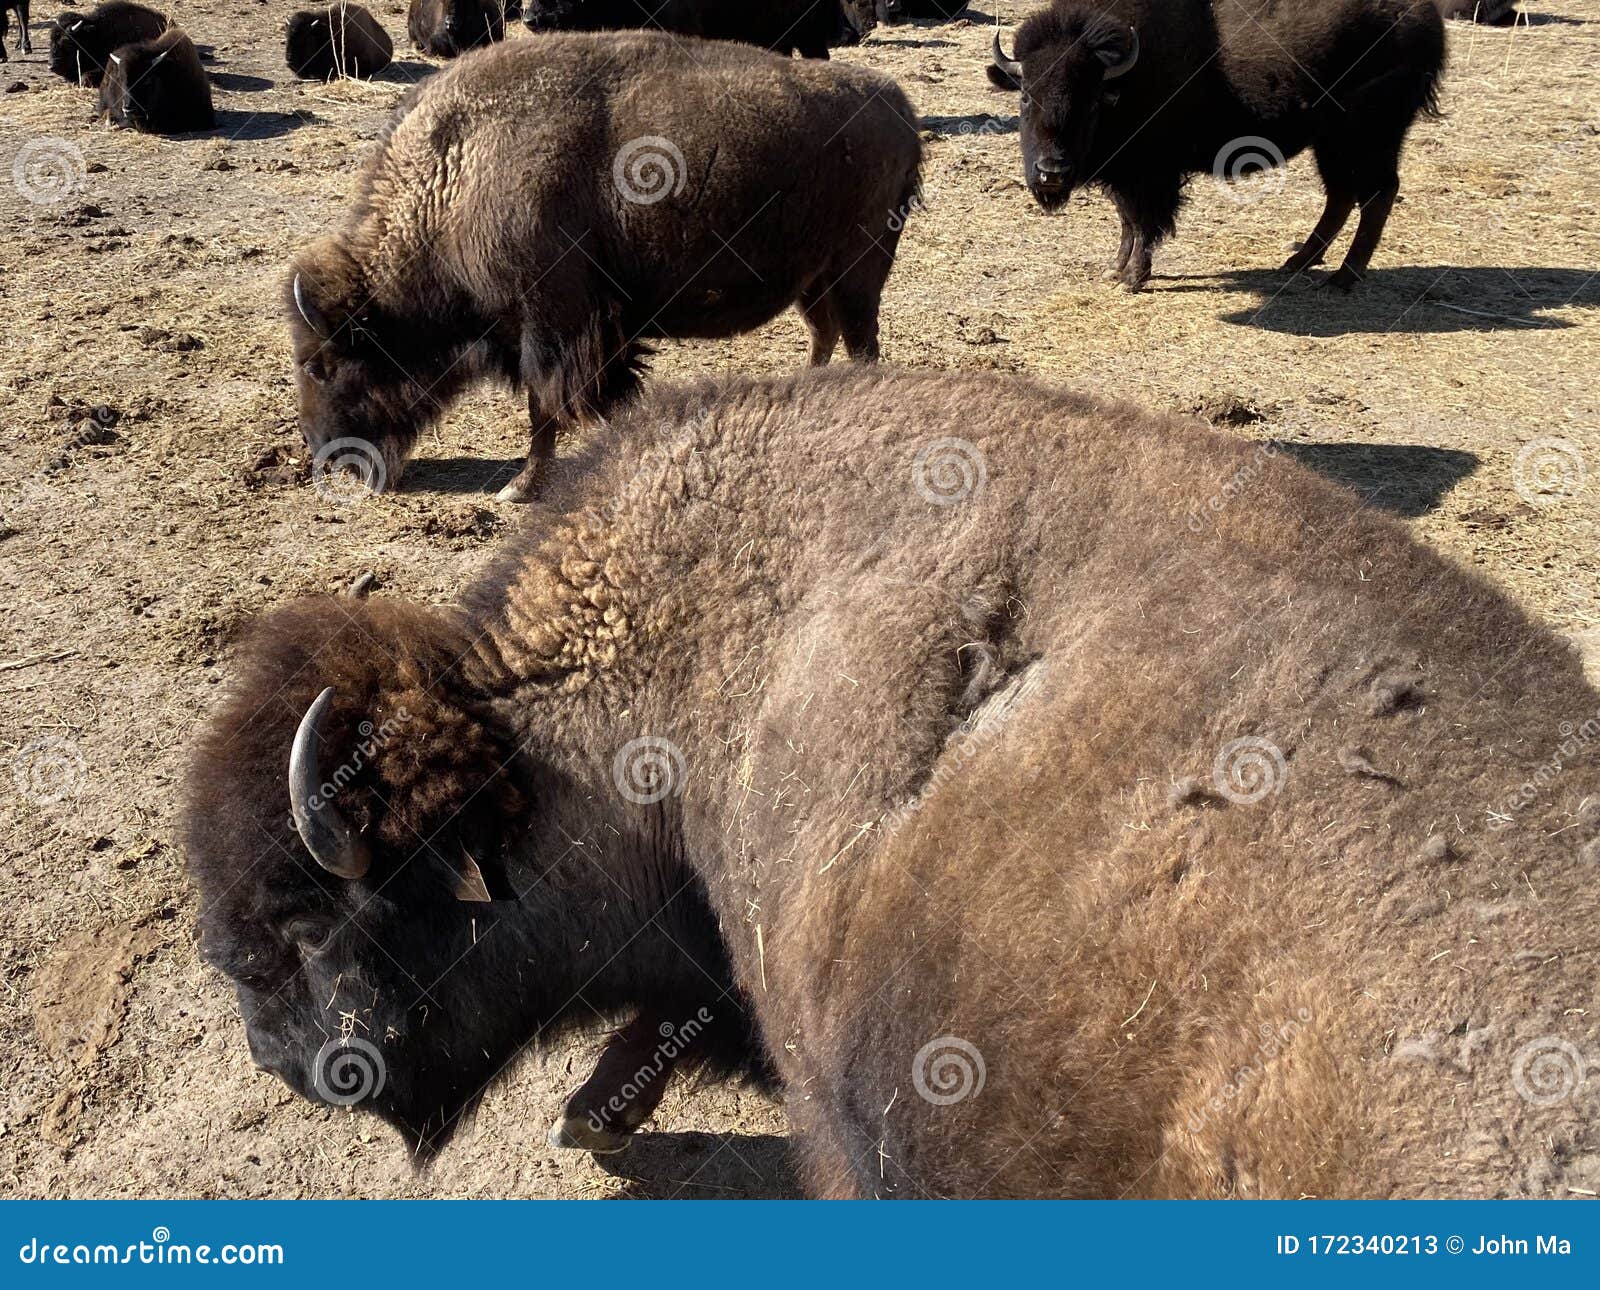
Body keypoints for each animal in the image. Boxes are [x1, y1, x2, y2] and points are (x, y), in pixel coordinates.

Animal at [285, 32, 921, 501]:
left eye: (320, 365)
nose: (326, 455)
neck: (457, 169)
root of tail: (896, 103)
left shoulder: (551, 324)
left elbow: (545, 406)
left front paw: (520, 487)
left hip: (857, 272)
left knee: (861, 344)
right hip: (815, 281)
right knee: (827, 335)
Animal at [989, 0, 1445, 291]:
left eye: (1089, 99)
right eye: (1026, 95)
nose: (1051, 173)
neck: (1124, 75)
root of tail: (1426, 19)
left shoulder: (1149, 175)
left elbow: (1143, 222)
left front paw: (1133, 278)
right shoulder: (1126, 176)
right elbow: (1126, 220)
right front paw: (1115, 270)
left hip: (1367, 138)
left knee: (1377, 195)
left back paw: (1342, 278)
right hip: (1332, 144)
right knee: (1342, 196)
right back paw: (1298, 263)